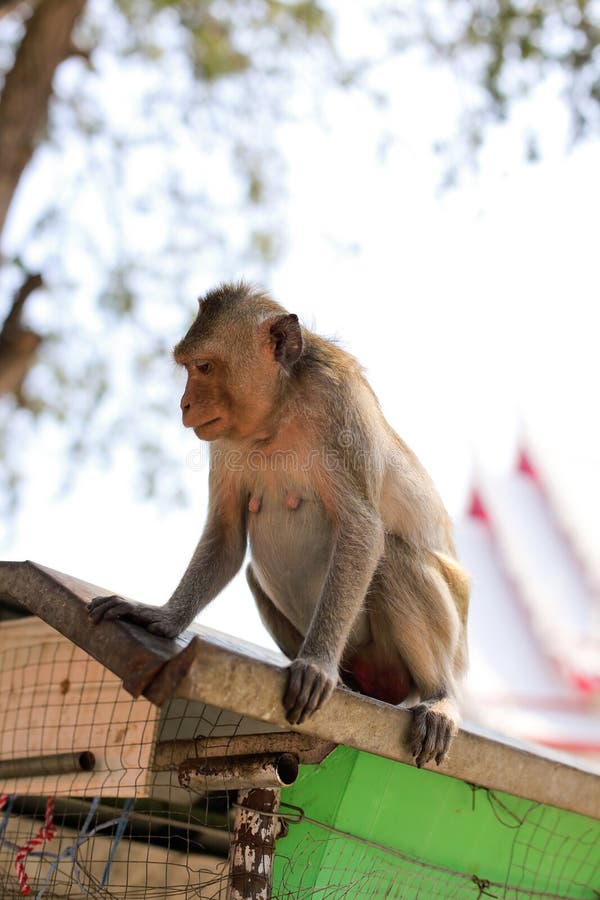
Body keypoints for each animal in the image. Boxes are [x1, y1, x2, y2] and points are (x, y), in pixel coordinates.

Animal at [88, 281, 469, 767]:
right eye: (189, 368)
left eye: (204, 366)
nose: (185, 404)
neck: (279, 412)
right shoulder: (225, 439)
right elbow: (228, 535)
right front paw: (162, 616)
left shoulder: (338, 404)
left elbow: (362, 529)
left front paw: (317, 663)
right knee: (255, 572)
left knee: (395, 558)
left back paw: (439, 696)